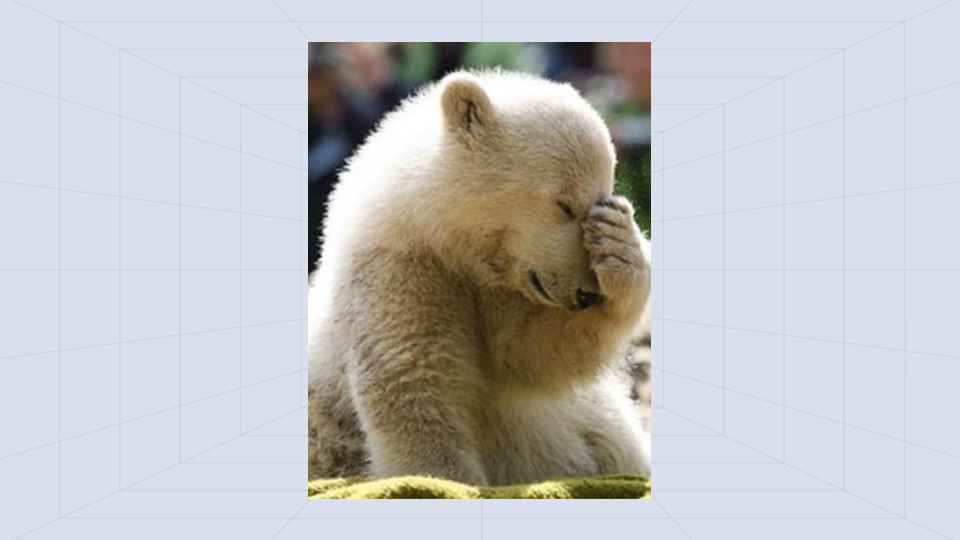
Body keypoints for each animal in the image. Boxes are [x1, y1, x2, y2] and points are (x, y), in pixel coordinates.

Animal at [307, 69, 652, 486]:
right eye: (564, 205)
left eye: (599, 201)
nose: (585, 295)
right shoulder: (398, 265)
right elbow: (414, 376)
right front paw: (439, 480)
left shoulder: (507, 293)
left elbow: (537, 355)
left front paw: (620, 246)